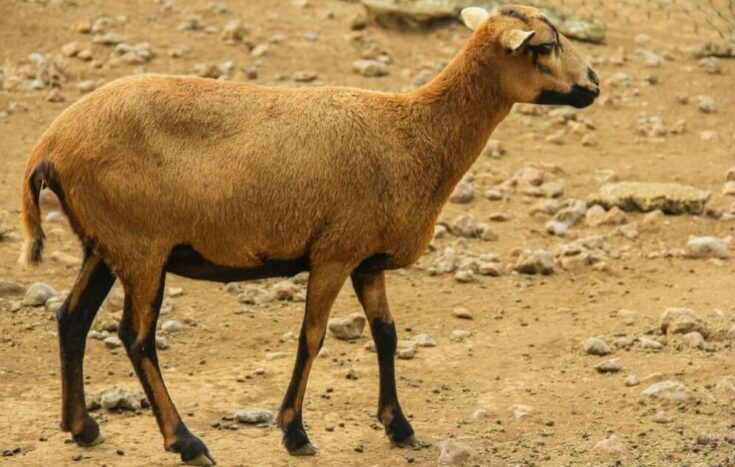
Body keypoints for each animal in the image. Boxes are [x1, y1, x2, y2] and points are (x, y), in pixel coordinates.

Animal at [19, 5, 599, 465]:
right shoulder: (334, 252)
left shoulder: (366, 260)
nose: (594, 83)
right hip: (141, 249)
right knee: (137, 339)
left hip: (104, 244)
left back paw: (83, 428)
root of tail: (50, 144)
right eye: (546, 45)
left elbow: (386, 335)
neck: (414, 133)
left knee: (71, 319)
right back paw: (186, 442)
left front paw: (399, 426)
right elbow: (312, 337)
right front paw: (294, 432)